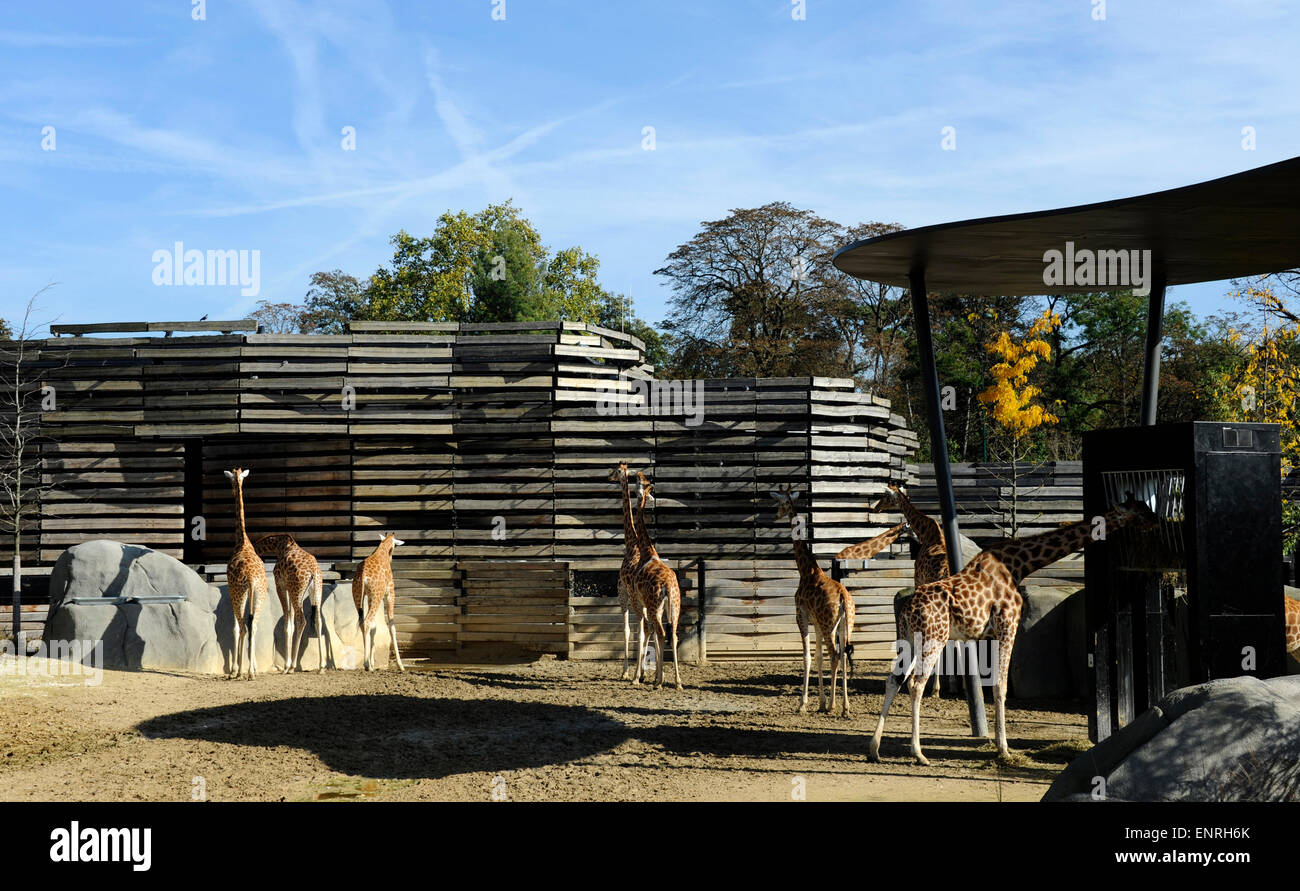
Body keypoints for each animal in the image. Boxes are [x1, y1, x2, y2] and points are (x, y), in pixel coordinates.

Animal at [253, 533, 329, 673]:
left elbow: (287, 624)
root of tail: (313, 572)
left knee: (302, 620)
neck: (280, 546)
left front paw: (286, 665)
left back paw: (292, 666)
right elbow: (291, 622)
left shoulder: (281, 586)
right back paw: (321, 666)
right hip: (316, 590)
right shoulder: (289, 588)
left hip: (297, 591)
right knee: (318, 620)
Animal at [353, 533, 405, 672]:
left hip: (358, 596)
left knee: (363, 622)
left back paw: (368, 664)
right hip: (377, 596)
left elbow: (374, 627)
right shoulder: (390, 593)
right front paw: (400, 665)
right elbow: (392, 626)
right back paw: (366, 665)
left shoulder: (370, 597)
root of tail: (363, 576)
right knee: (367, 621)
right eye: (395, 547)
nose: (392, 559)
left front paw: (372, 662)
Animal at [772, 484, 856, 716]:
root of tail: (844, 598)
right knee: (843, 656)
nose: (777, 514)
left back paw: (834, 705)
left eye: (782, 502)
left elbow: (807, 657)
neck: (806, 570)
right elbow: (818, 657)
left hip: (829, 625)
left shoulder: (801, 615)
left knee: (835, 655)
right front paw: (820, 702)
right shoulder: (817, 622)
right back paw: (845, 707)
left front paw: (803, 703)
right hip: (845, 625)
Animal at [868, 494, 1157, 765]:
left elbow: (995, 683)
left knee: (893, 680)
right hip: (933, 638)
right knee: (916, 684)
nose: (1156, 520)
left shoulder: (991, 634)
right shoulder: (1009, 623)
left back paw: (875, 749)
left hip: (910, 639)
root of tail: (907, 609)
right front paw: (1004, 749)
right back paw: (918, 753)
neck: (1019, 564)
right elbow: (1001, 686)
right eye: (1140, 510)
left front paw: (999, 743)